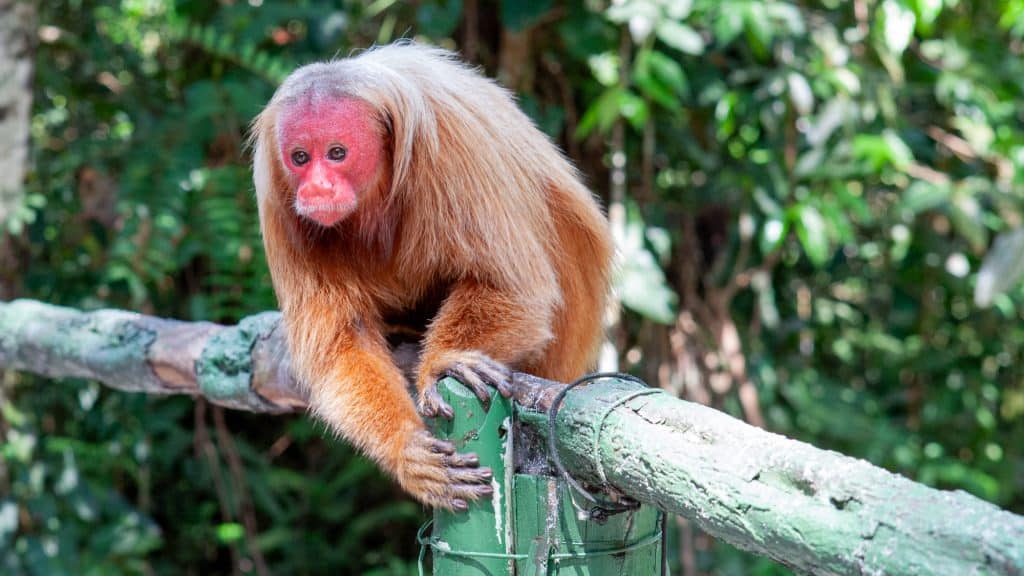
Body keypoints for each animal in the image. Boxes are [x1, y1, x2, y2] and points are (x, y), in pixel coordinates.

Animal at [251, 43, 613, 511]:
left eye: (336, 154)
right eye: (299, 158)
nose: (317, 189)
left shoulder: (451, 143)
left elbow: (513, 288)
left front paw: (445, 361)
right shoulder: (277, 199)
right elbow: (339, 344)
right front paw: (406, 449)